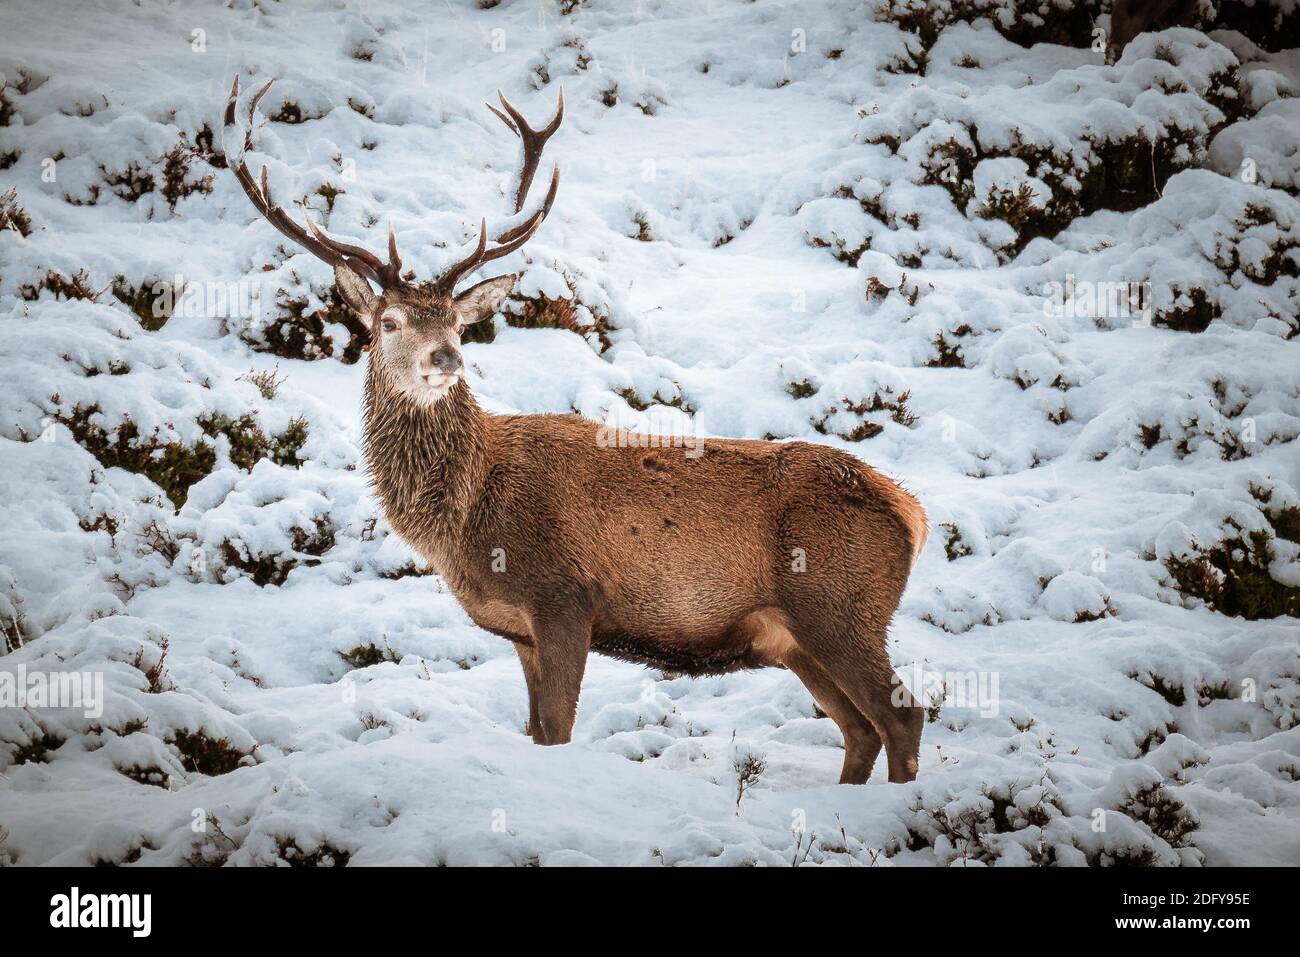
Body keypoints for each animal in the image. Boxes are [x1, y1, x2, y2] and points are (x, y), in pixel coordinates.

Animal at [223, 75, 930, 784]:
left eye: (455, 320)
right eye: (389, 322)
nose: (446, 358)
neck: (468, 516)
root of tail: (912, 513)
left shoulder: (566, 598)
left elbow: (558, 733)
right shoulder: (522, 632)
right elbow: (536, 733)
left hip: (841, 607)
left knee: (902, 715)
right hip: (799, 637)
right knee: (859, 729)